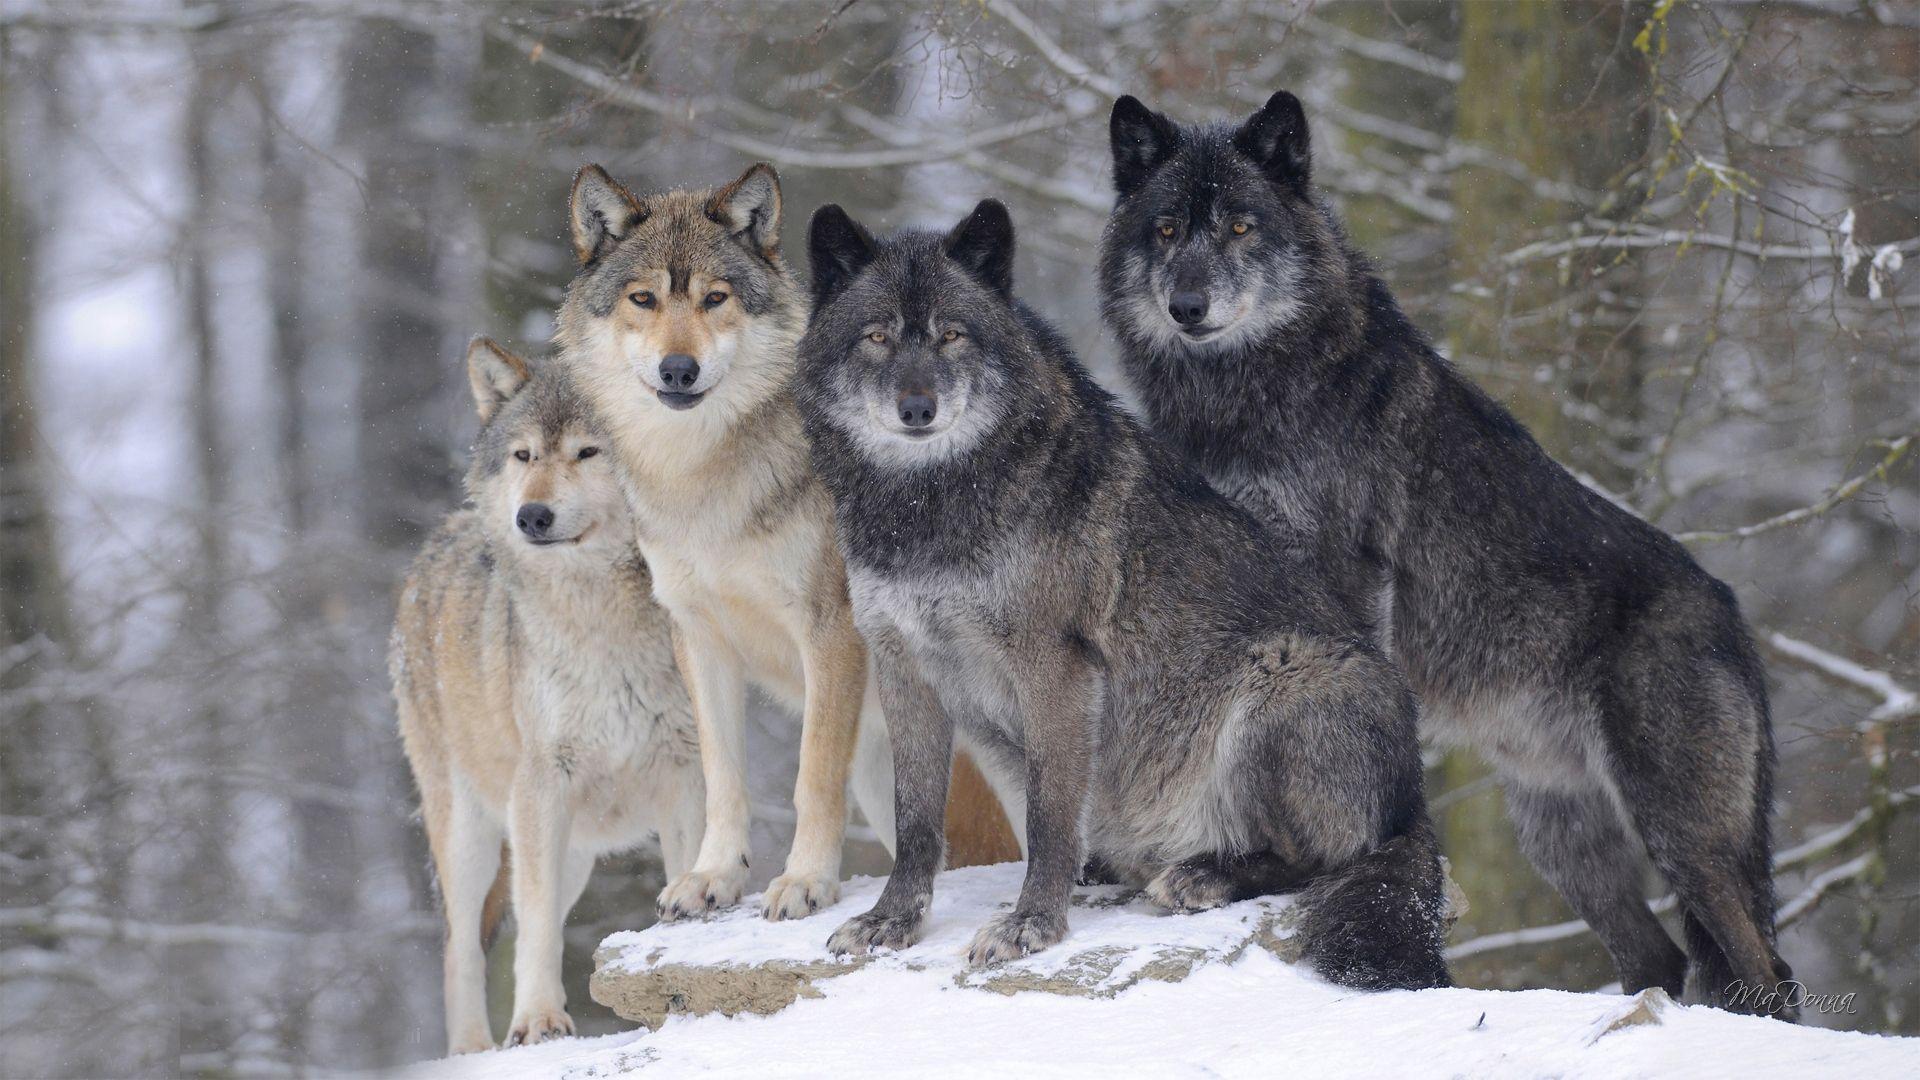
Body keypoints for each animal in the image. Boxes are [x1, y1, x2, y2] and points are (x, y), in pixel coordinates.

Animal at [391, 338, 704, 1053]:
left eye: (589, 452)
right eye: (524, 456)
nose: (530, 515)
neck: (601, 626)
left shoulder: (687, 773)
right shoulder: (541, 784)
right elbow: (531, 928)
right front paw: (537, 1022)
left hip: (574, 854)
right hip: (474, 834)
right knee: (462, 948)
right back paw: (474, 1050)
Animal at [798, 199, 1451, 991]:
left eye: (952, 334)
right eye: (877, 337)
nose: (916, 408)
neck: (927, 509)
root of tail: (1414, 807)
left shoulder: (1056, 667)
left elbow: (1049, 816)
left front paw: (1031, 925)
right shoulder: (904, 670)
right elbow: (916, 819)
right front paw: (892, 921)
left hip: (1287, 677)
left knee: (1324, 861)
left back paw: (1202, 875)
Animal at [1100, 91, 1791, 1013]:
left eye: (1242, 227)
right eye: (1169, 229)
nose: (1188, 304)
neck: (1249, 392)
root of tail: (1733, 614)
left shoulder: (1345, 576)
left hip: (1681, 836)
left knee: (1764, 972)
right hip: (1563, 842)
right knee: (1661, 961)